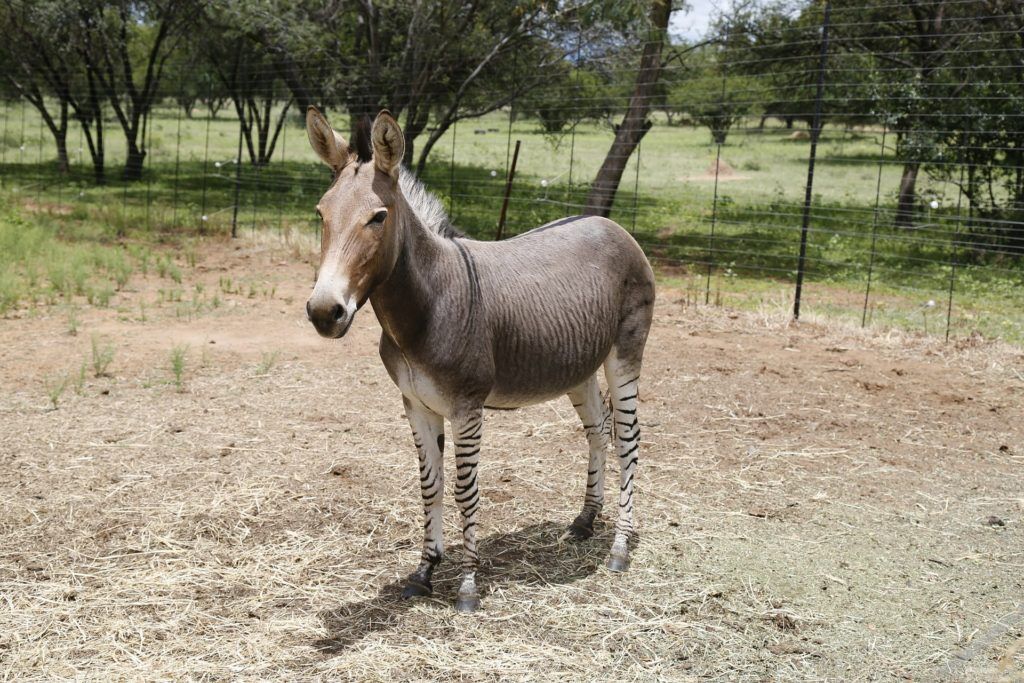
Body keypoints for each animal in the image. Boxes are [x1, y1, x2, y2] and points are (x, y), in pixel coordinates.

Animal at [303, 108, 655, 613]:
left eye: (378, 217)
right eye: (321, 214)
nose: (323, 312)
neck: (428, 304)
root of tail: (611, 224)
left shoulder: (467, 407)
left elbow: (465, 489)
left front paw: (468, 585)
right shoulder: (416, 404)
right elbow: (430, 486)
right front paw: (425, 572)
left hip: (625, 354)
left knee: (628, 437)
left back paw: (620, 547)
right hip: (579, 366)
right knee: (598, 429)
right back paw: (586, 521)